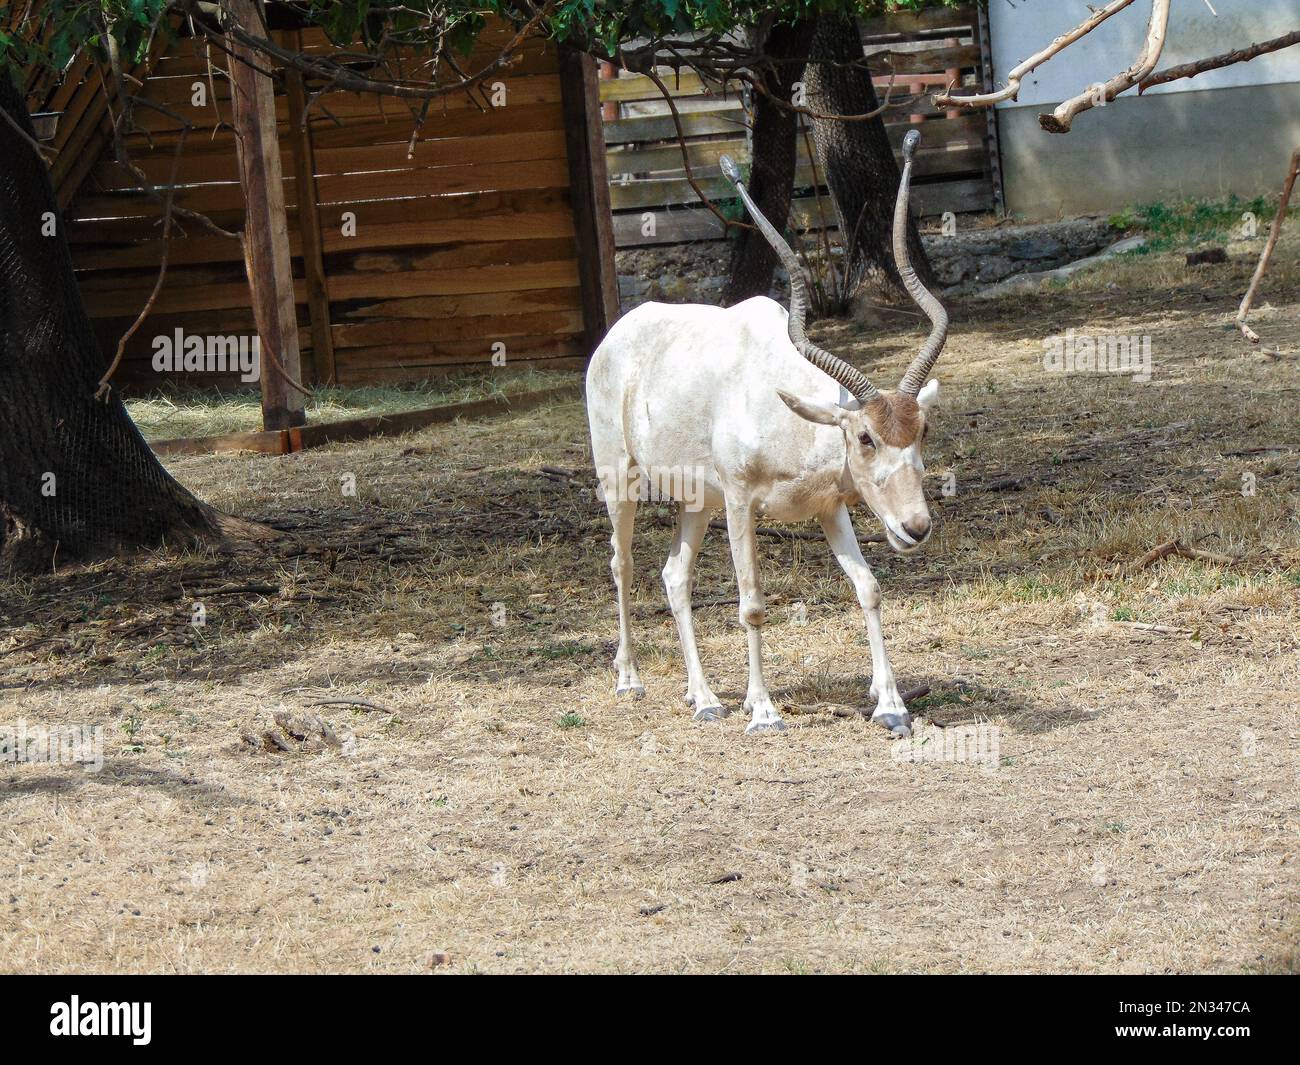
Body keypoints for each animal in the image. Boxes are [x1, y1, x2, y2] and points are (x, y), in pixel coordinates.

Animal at [586, 129, 947, 737]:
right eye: (866, 439)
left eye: (921, 431)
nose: (915, 528)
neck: (790, 418)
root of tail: (616, 337)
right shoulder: (739, 502)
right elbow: (752, 601)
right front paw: (763, 711)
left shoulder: (830, 507)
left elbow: (869, 588)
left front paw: (892, 705)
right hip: (622, 480)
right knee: (622, 562)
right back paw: (630, 679)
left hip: (697, 502)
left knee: (674, 575)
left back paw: (704, 697)